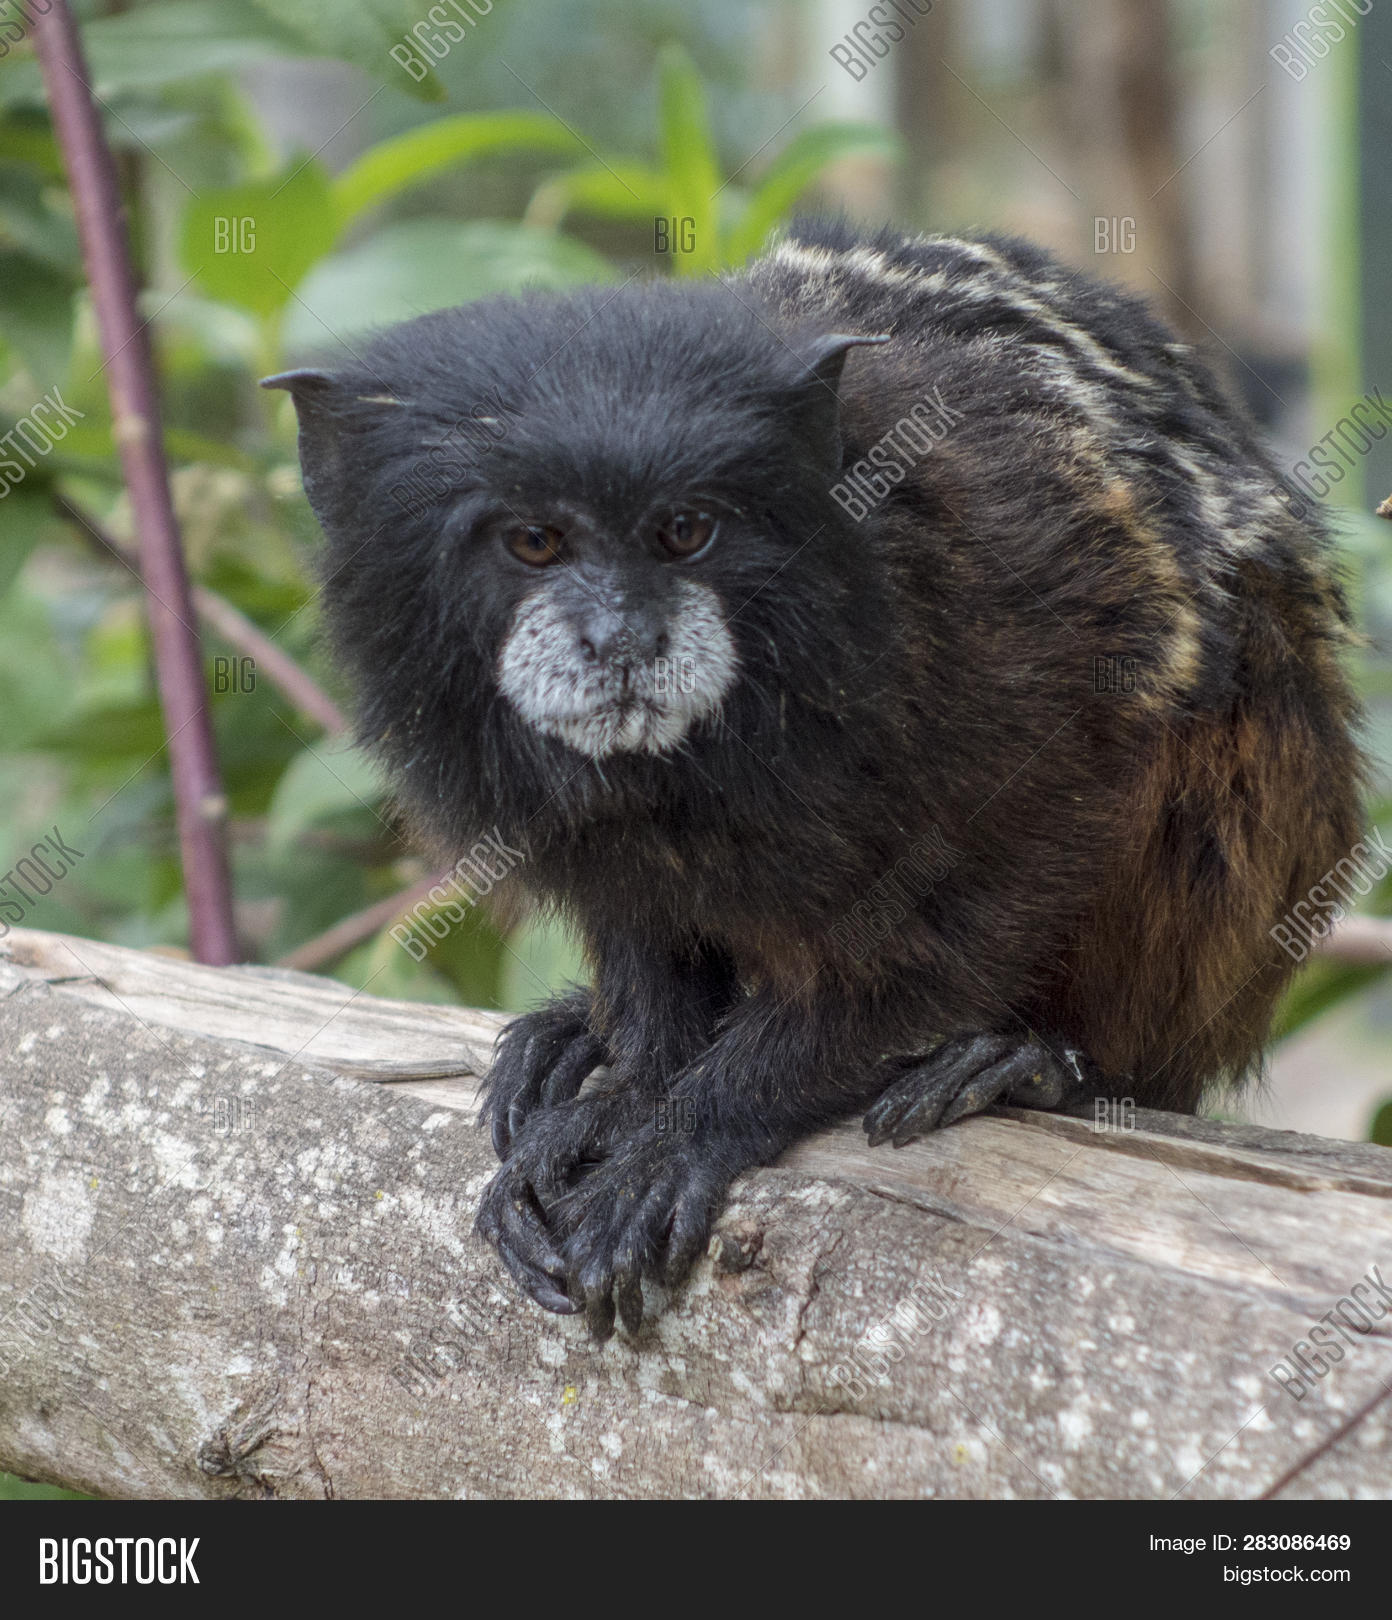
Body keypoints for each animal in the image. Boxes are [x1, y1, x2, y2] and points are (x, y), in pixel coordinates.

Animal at [265, 217, 1363, 1340]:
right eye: (534, 541)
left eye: (685, 531)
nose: (622, 637)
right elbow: (639, 916)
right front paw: (630, 1084)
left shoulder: (1033, 565)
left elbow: (1023, 840)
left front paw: (701, 1118)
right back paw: (570, 1037)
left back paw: (1046, 1063)